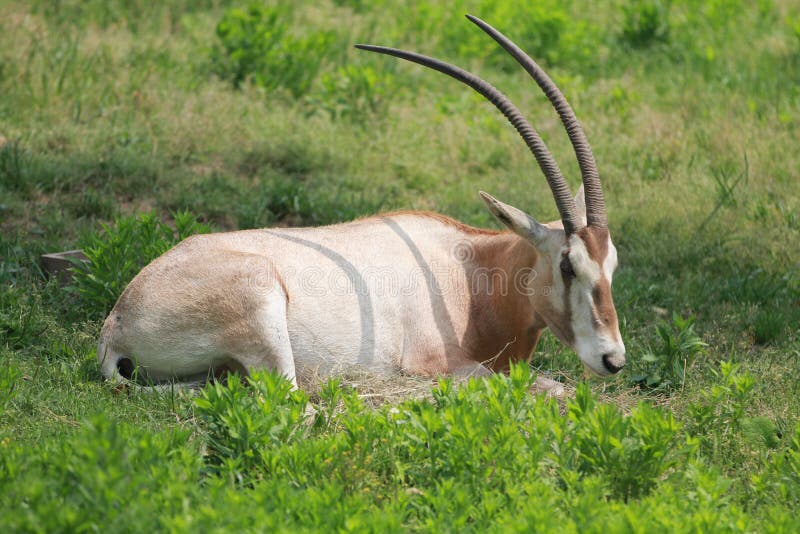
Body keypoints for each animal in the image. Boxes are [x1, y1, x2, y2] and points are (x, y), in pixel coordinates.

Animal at [97, 15, 625, 388]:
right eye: (567, 265)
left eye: (612, 264)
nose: (613, 359)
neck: (471, 269)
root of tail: (116, 321)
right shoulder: (440, 364)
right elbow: (548, 388)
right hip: (262, 308)